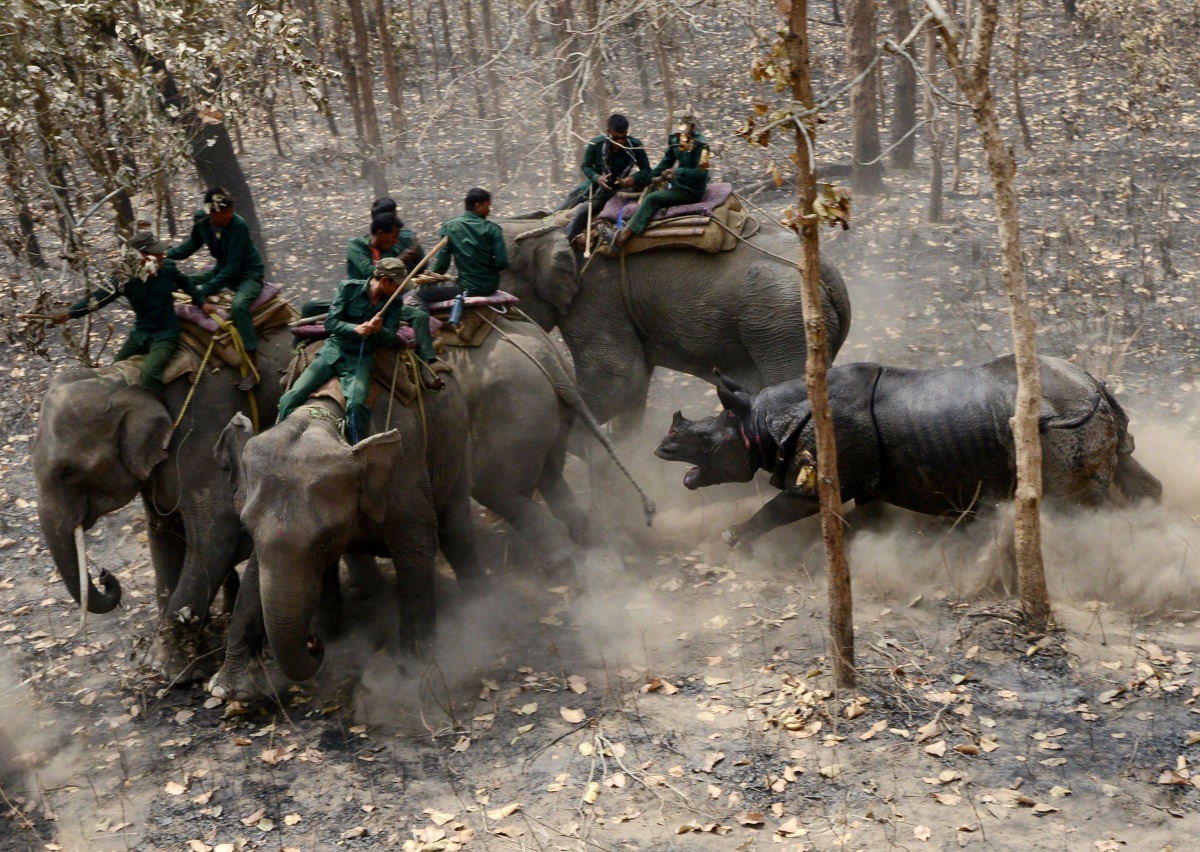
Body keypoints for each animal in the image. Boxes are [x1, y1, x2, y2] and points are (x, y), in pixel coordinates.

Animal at [655, 355, 1162, 554]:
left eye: (707, 440)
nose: (662, 447)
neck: (760, 421)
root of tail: (1093, 385)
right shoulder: (865, 477)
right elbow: (869, 516)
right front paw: (870, 547)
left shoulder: (820, 475)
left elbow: (782, 507)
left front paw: (733, 540)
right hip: (1087, 414)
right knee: (1128, 471)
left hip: (1062, 424)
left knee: (1075, 507)